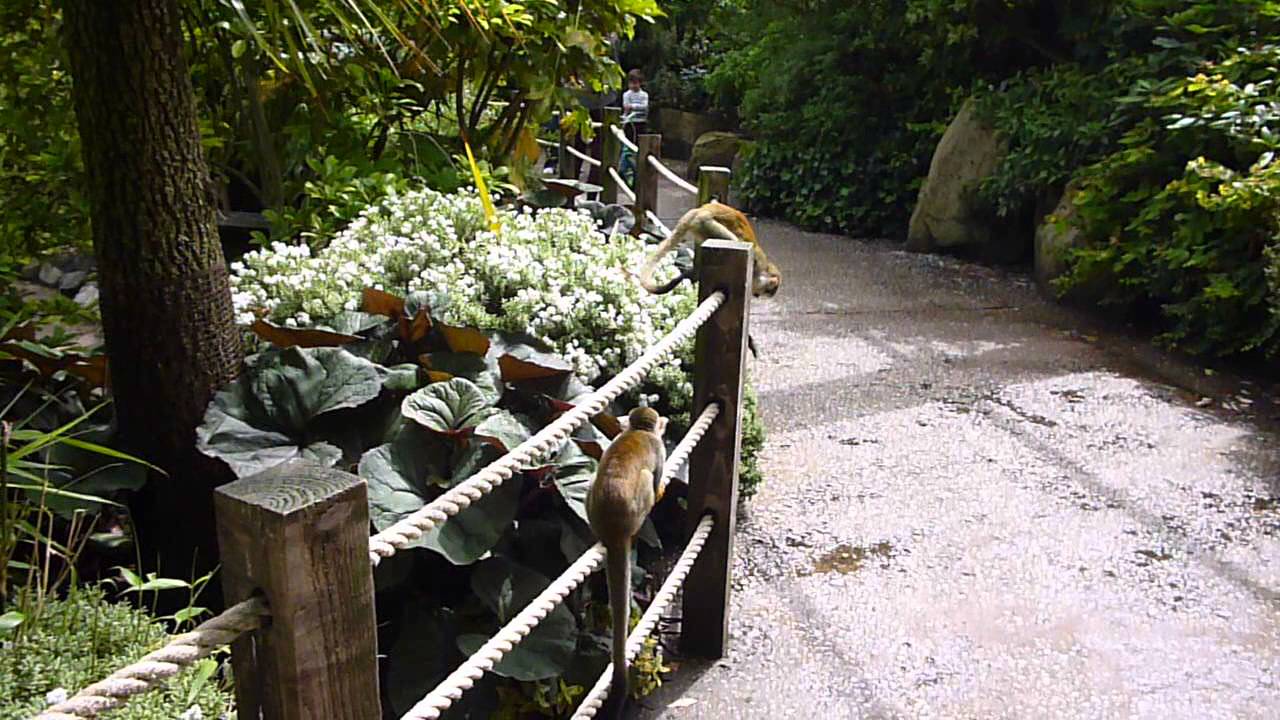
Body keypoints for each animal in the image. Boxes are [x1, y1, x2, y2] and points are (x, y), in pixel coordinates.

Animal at [586, 406, 669, 717]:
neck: (639, 430)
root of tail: (613, 529)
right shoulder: (659, 448)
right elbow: (656, 475)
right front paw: (661, 490)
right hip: (636, 507)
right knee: (646, 478)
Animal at [636, 200, 781, 299]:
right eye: (769, 291)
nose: (758, 295)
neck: (762, 271)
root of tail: (699, 210)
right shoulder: (755, 265)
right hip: (705, 223)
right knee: (731, 239)